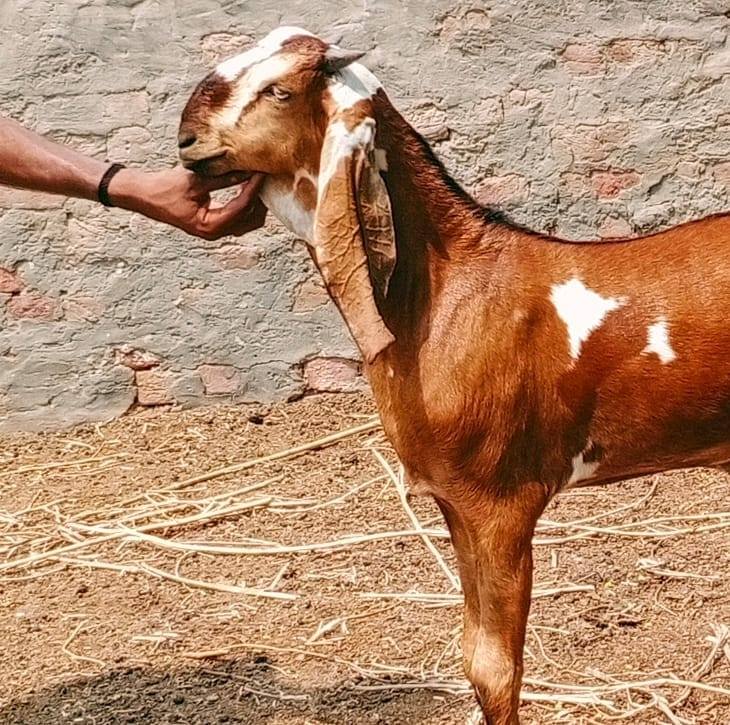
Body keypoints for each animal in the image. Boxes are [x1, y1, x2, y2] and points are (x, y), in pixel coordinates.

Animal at [178, 27, 730, 724]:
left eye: (278, 90)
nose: (186, 141)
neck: (447, 291)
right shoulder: (453, 500)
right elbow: (471, 658)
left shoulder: (501, 503)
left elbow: (495, 670)